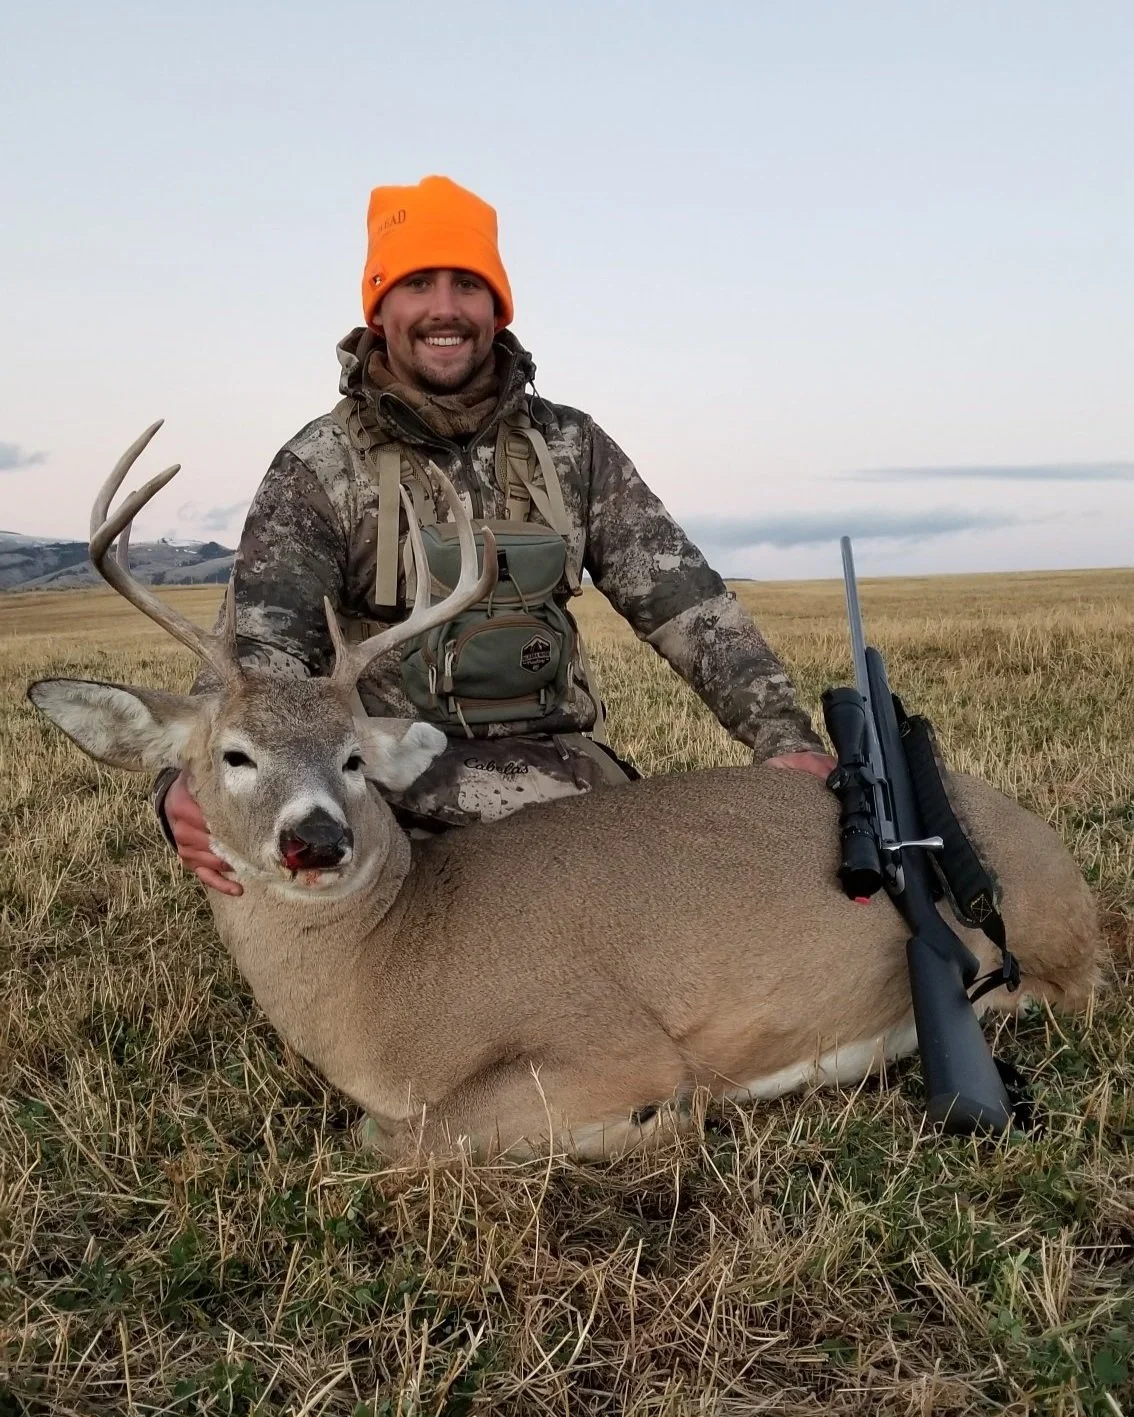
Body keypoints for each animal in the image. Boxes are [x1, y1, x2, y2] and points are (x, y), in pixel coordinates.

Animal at [28, 424, 1103, 1161]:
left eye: (352, 759)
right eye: (233, 756)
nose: (317, 840)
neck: (392, 971)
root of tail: (1071, 870)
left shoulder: (608, 1040)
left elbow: (398, 1140)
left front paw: (649, 1125)